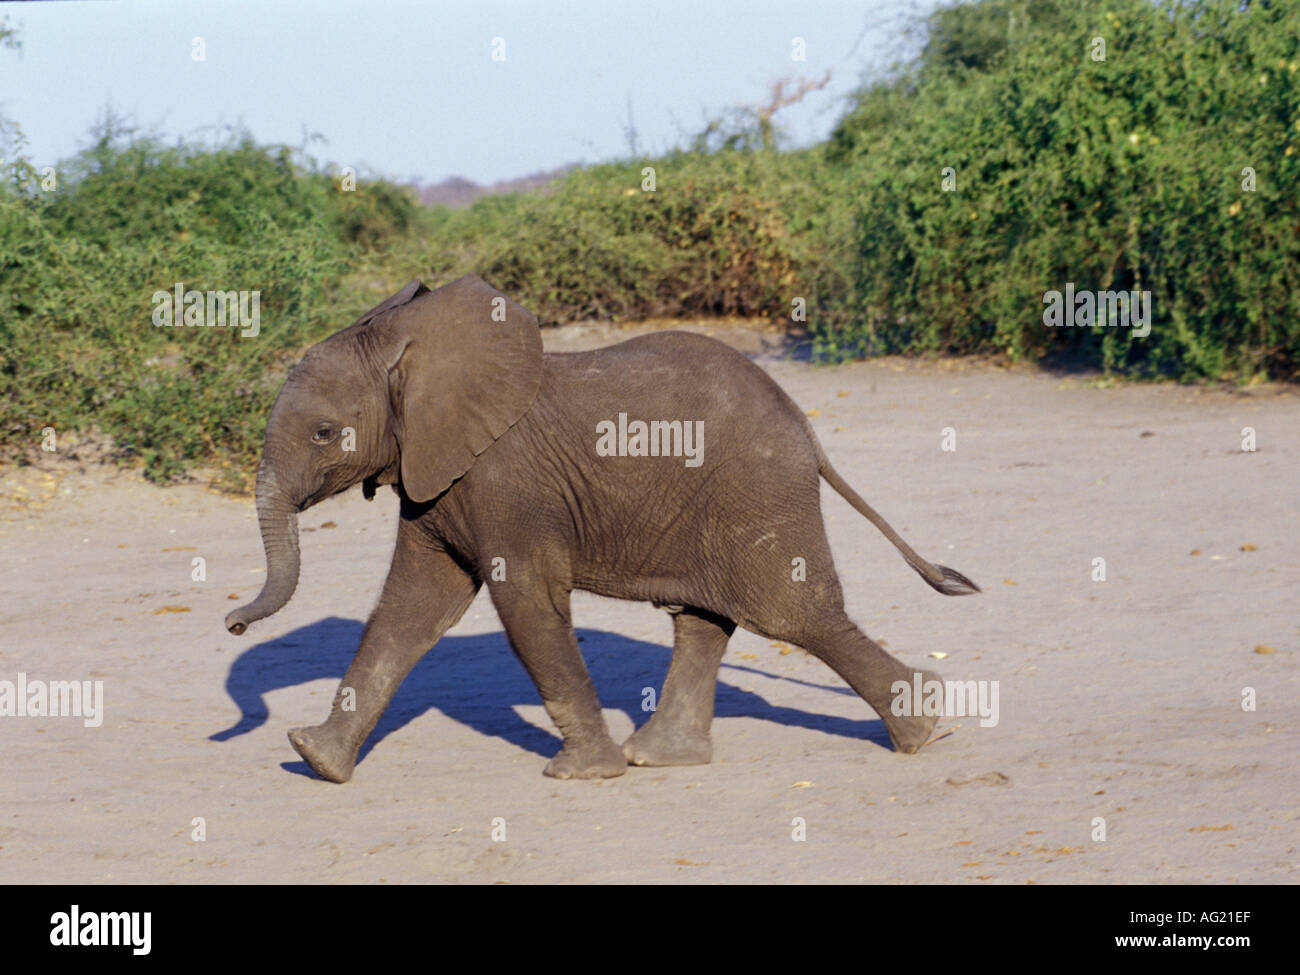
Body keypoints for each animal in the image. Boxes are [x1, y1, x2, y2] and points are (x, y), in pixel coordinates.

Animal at [225, 274, 980, 783]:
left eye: (324, 434)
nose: (231, 622)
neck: (414, 346)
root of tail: (806, 425)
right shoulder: (433, 477)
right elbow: (409, 609)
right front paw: (316, 758)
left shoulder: (504, 480)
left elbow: (525, 601)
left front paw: (582, 774)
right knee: (703, 619)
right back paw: (659, 757)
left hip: (758, 491)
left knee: (792, 612)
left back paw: (923, 727)